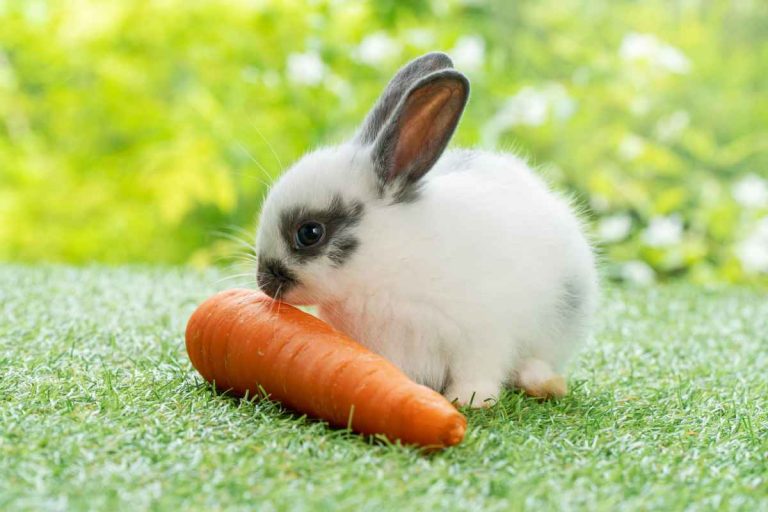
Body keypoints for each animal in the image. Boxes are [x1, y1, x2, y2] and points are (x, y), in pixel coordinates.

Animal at [255, 52, 598, 407]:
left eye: (310, 233)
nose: (264, 282)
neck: (386, 264)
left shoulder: (481, 335)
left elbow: (478, 371)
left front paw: (469, 400)